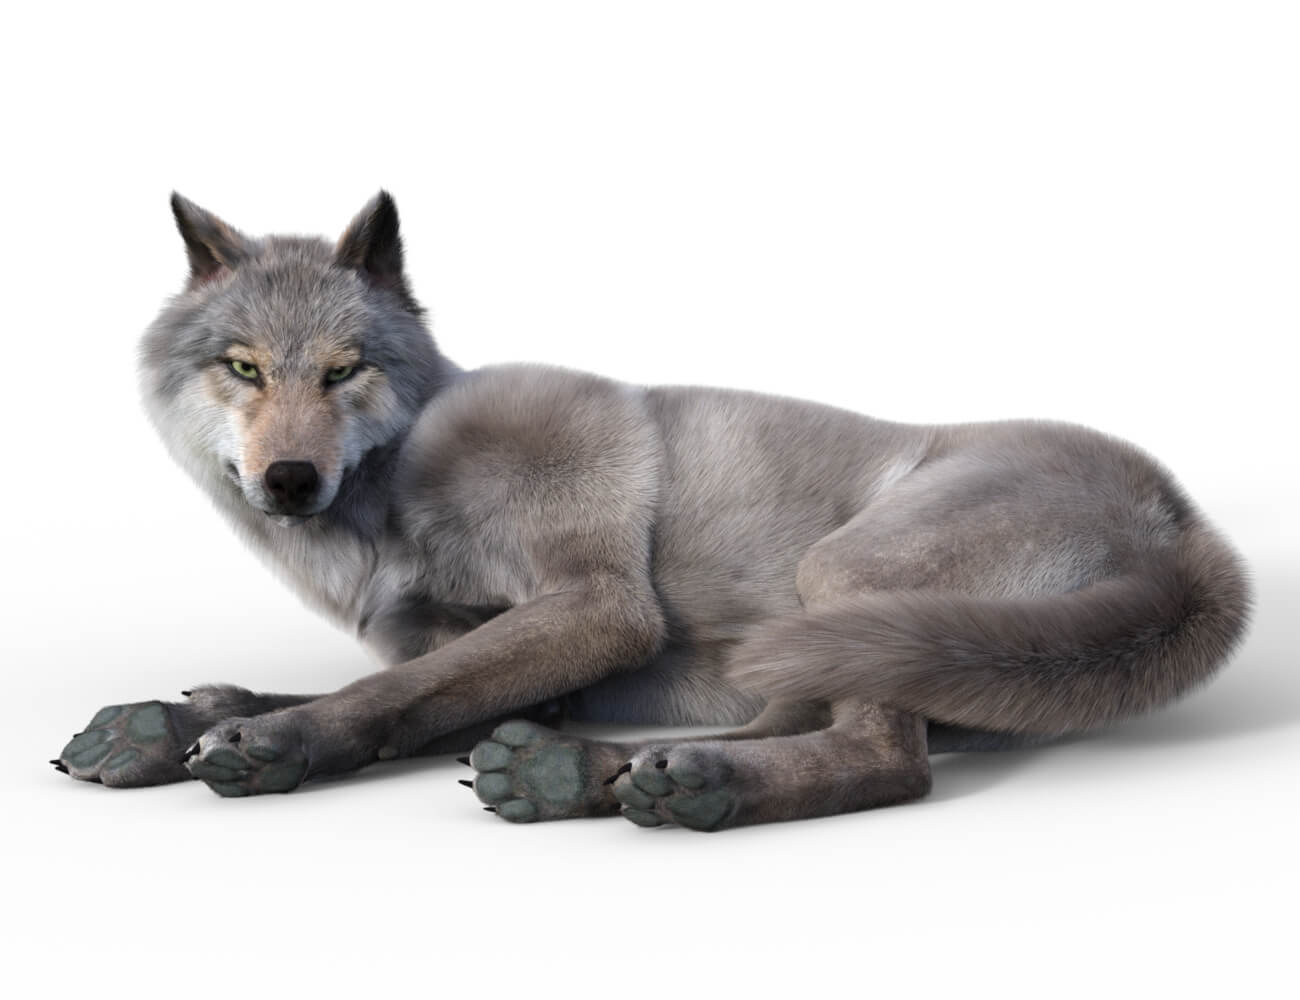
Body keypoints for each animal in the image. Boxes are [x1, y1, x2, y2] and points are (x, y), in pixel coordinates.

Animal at [53, 193, 1251, 831]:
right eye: (244, 368)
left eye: (344, 369)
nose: (291, 481)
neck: (398, 491)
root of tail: (1188, 523)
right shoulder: (509, 647)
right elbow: (410, 688)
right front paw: (175, 723)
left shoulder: (598, 607)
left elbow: (384, 693)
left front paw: (274, 742)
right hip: (840, 636)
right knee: (792, 724)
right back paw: (587, 773)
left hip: (843, 581)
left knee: (887, 760)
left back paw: (677, 784)